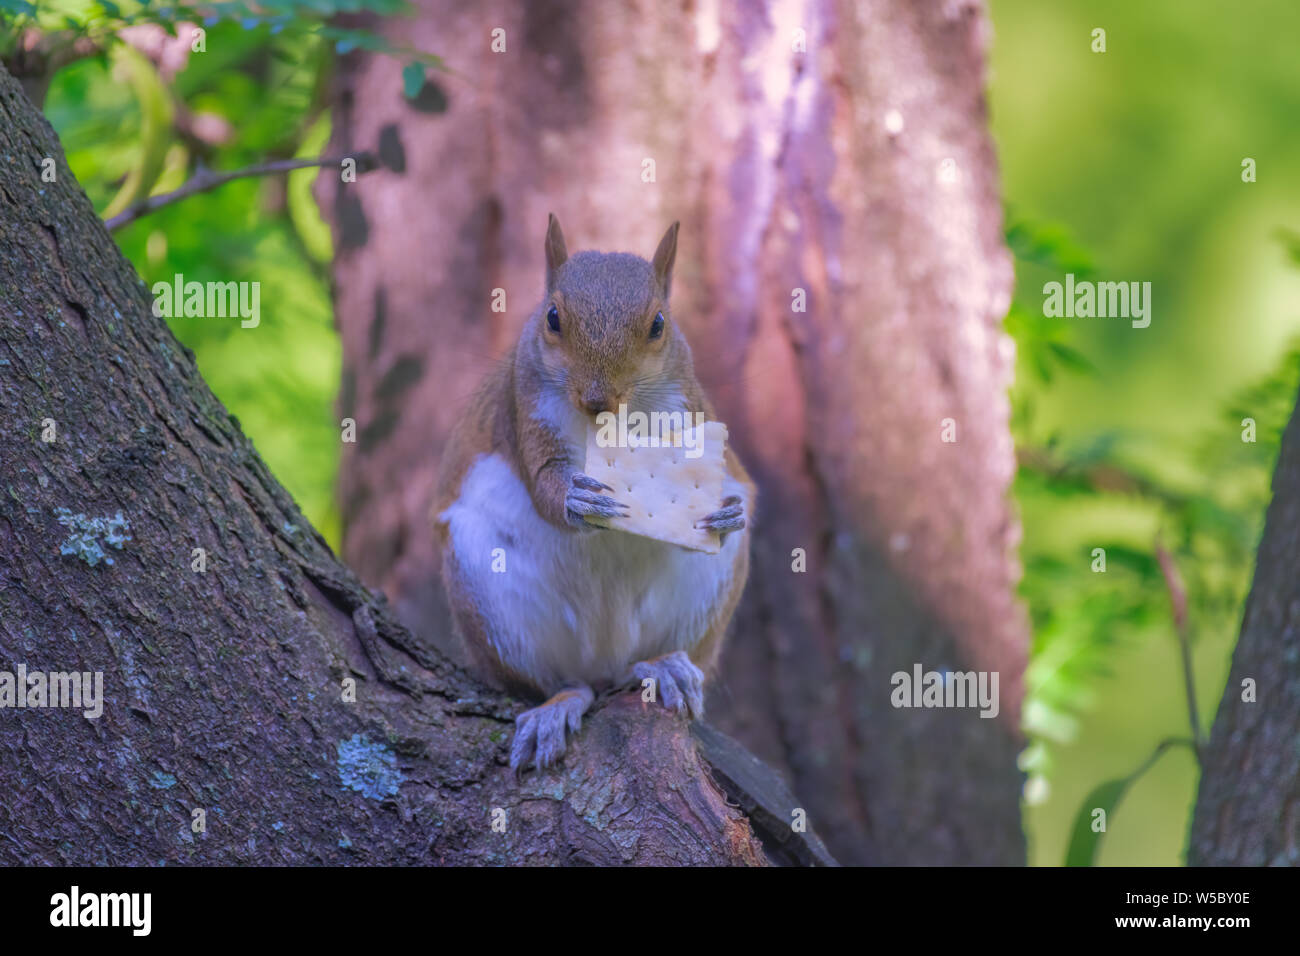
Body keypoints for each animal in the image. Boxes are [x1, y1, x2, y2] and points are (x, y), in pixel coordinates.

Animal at [433, 215, 754, 772]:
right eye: (552, 317)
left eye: (659, 324)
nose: (597, 399)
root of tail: (606, 655)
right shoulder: (523, 409)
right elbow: (543, 485)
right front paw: (575, 501)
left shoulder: (691, 411)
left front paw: (727, 512)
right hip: (489, 596)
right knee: (564, 683)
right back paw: (557, 706)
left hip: (703, 604)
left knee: (637, 667)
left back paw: (662, 666)